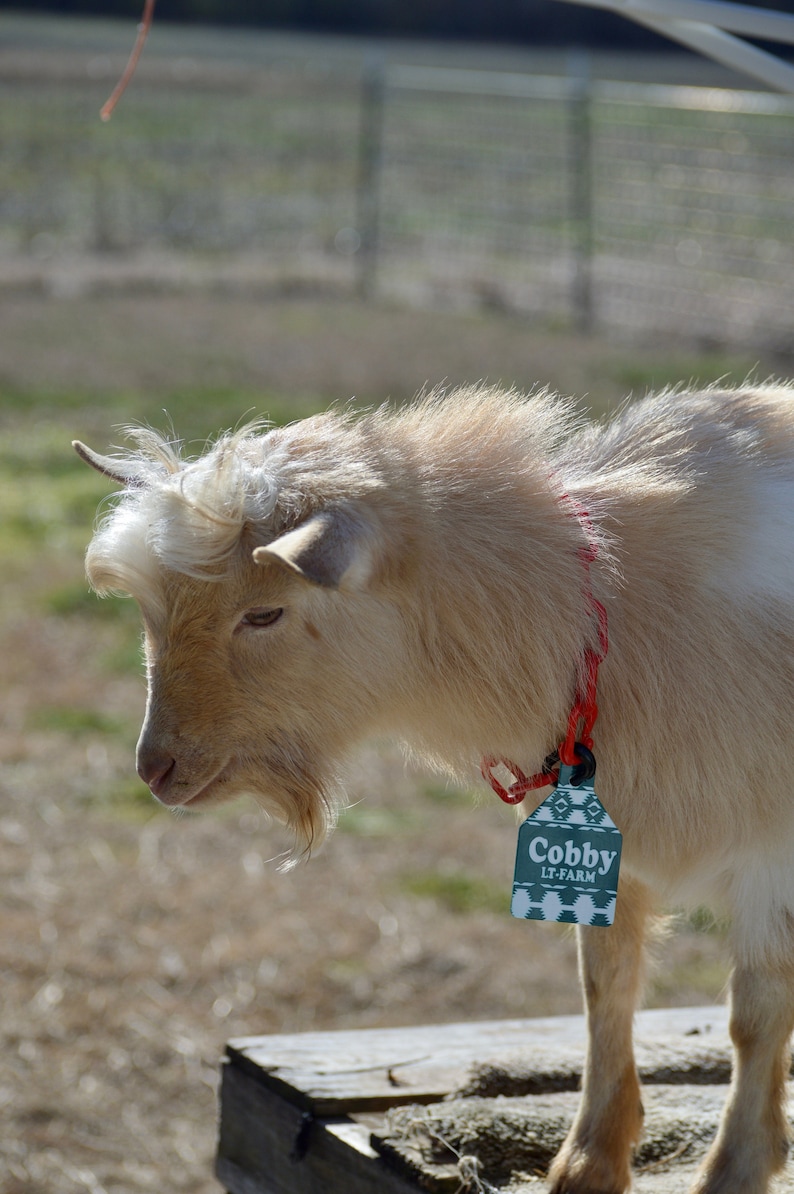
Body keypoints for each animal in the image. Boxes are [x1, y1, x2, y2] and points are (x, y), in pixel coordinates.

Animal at [75, 383, 794, 1194]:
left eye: (264, 611)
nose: (156, 768)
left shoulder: (771, 855)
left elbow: (753, 1014)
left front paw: (735, 1169)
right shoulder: (616, 850)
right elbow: (606, 986)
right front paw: (589, 1164)